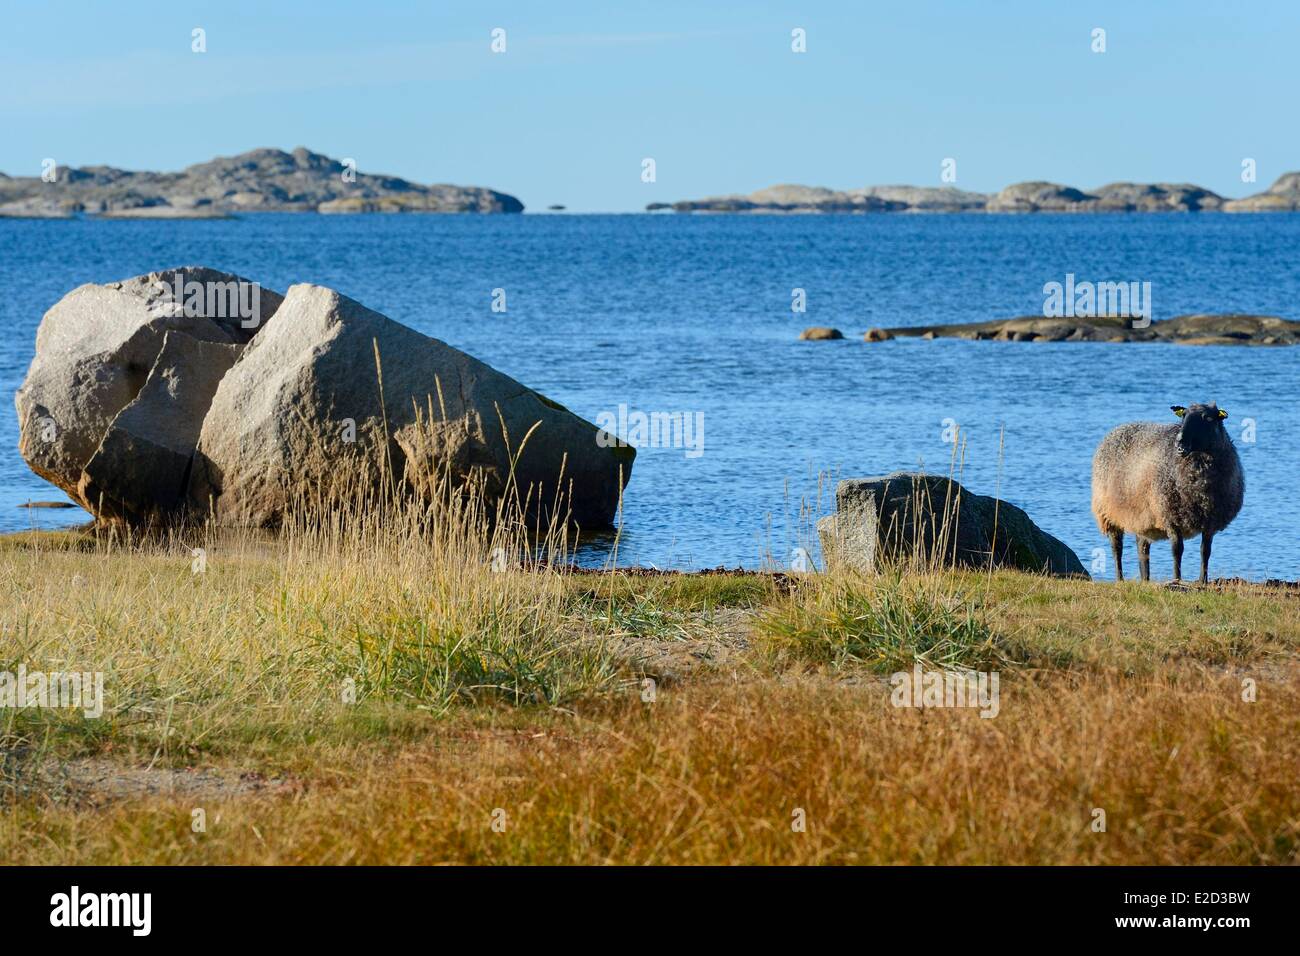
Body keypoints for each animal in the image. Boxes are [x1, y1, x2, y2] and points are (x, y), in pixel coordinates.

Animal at [1091, 402, 1244, 583]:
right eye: (1183, 415)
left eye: (1208, 418)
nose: (1180, 442)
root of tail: (1118, 428)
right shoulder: (1171, 516)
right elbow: (1177, 550)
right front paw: (1177, 578)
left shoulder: (1210, 521)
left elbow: (1205, 551)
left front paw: (1203, 580)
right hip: (1108, 513)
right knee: (1117, 548)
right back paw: (1120, 579)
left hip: (1141, 516)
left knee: (1142, 549)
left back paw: (1145, 579)